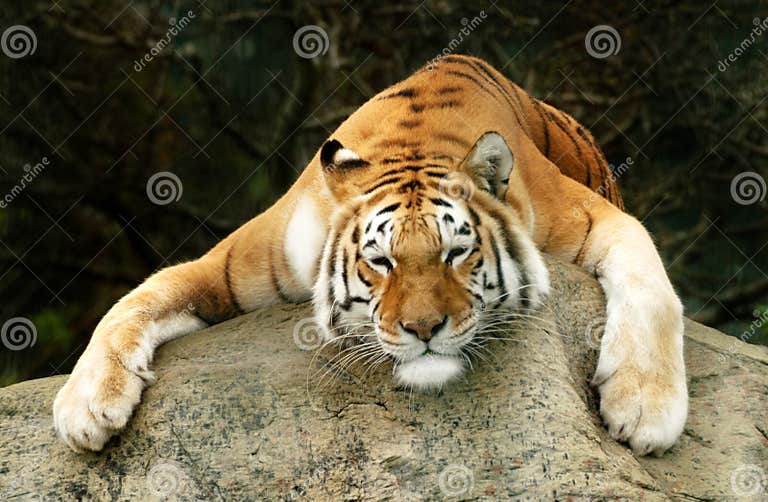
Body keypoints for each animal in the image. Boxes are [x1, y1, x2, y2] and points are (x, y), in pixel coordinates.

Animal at [53, 55, 687, 457]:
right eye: (380, 262)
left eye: (458, 253)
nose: (424, 329)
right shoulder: (232, 266)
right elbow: (138, 299)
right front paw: (84, 407)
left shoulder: (596, 218)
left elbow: (656, 292)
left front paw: (645, 409)